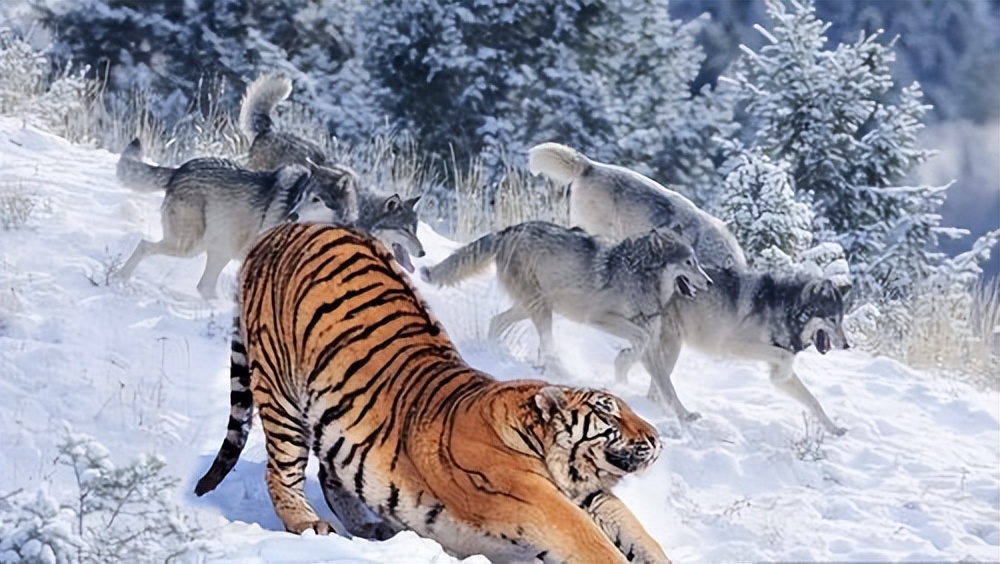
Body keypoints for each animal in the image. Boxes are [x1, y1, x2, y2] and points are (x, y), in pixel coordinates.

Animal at [115, 139, 358, 299]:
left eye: (316, 199)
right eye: (302, 197)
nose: (292, 215)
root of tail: (181, 168)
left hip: (218, 249)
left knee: (204, 286)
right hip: (190, 246)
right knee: (144, 245)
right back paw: (121, 278)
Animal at [194, 222, 669, 563]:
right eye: (608, 412)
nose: (656, 439)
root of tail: (278, 231)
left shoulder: (592, 497)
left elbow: (641, 535)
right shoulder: (539, 502)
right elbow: (595, 546)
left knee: (332, 473)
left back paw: (371, 529)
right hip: (281, 395)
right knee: (282, 471)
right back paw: (309, 526)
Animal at [422, 220, 713, 381]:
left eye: (698, 262)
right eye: (689, 263)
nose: (709, 282)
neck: (637, 273)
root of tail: (509, 230)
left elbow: (643, 348)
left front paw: (623, 369)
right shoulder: (600, 318)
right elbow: (639, 341)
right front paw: (623, 362)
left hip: (535, 307)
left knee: (497, 322)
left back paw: (494, 351)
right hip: (541, 308)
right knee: (544, 343)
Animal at [644, 267, 850, 435]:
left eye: (841, 319)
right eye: (831, 319)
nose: (847, 345)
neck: (785, 312)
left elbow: (813, 401)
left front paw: (833, 429)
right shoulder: (734, 345)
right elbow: (783, 356)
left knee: (656, 386)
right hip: (671, 346)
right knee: (660, 384)